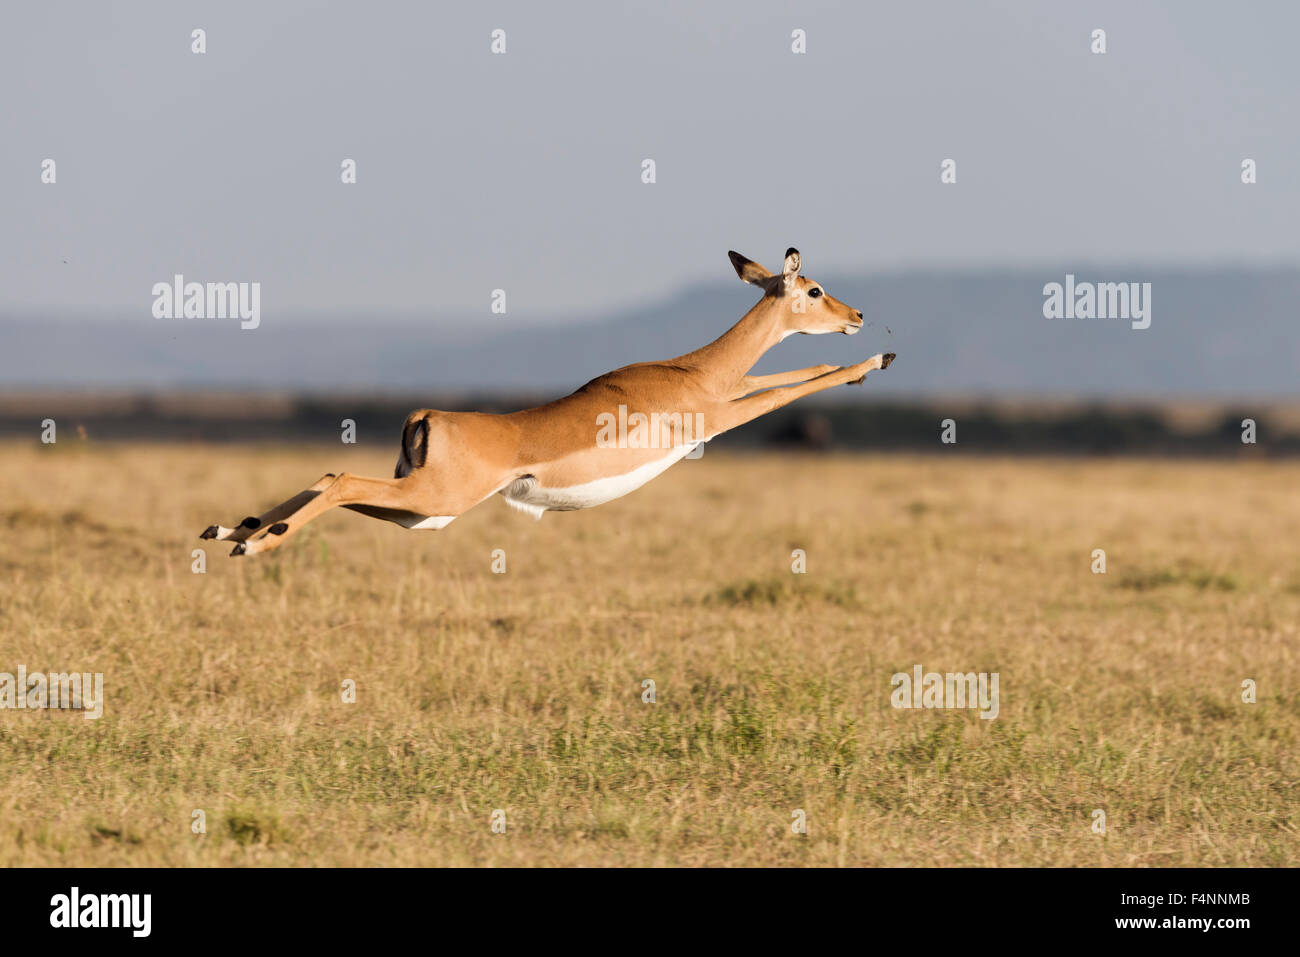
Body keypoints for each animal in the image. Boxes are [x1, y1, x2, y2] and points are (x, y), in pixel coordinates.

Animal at [200, 248, 895, 556]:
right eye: (814, 288)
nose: (858, 316)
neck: (690, 372)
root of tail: (428, 416)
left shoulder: (728, 392)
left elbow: (797, 370)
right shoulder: (718, 416)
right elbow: (789, 388)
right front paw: (874, 361)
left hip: (422, 513)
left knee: (328, 478)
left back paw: (232, 530)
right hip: (434, 500)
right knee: (339, 478)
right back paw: (252, 543)